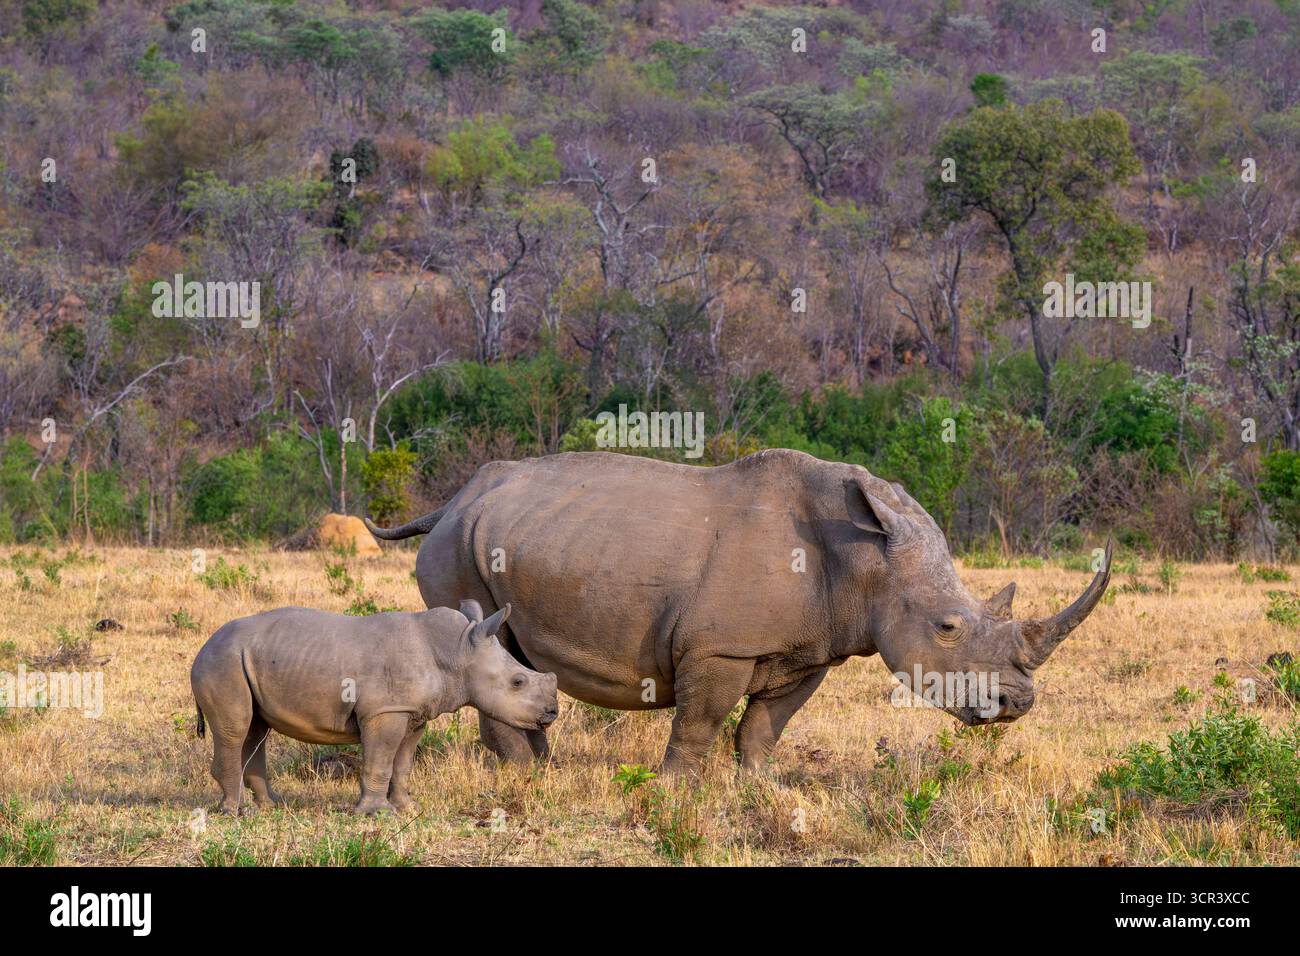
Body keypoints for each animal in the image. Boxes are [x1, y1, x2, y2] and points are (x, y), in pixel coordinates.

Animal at [191, 600, 559, 814]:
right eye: (517, 682)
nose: (551, 714)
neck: (457, 652)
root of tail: (203, 647)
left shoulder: (412, 712)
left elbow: (403, 762)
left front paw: (407, 807)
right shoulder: (386, 710)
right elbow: (381, 759)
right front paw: (375, 813)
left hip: (240, 660)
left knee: (256, 730)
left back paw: (270, 806)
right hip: (222, 662)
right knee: (236, 729)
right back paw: (236, 812)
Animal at [365, 449, 1110, 778]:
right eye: (949, 628)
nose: (1018, 705)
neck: (867, 559)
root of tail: (454, 499)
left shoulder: (812, 648)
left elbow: (765, 726)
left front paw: (760, 786)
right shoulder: (719, 647)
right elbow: (698, 723)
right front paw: (676, 789)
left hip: (506, 535)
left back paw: (542, 770)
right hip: (458, 549)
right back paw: (524, 776)